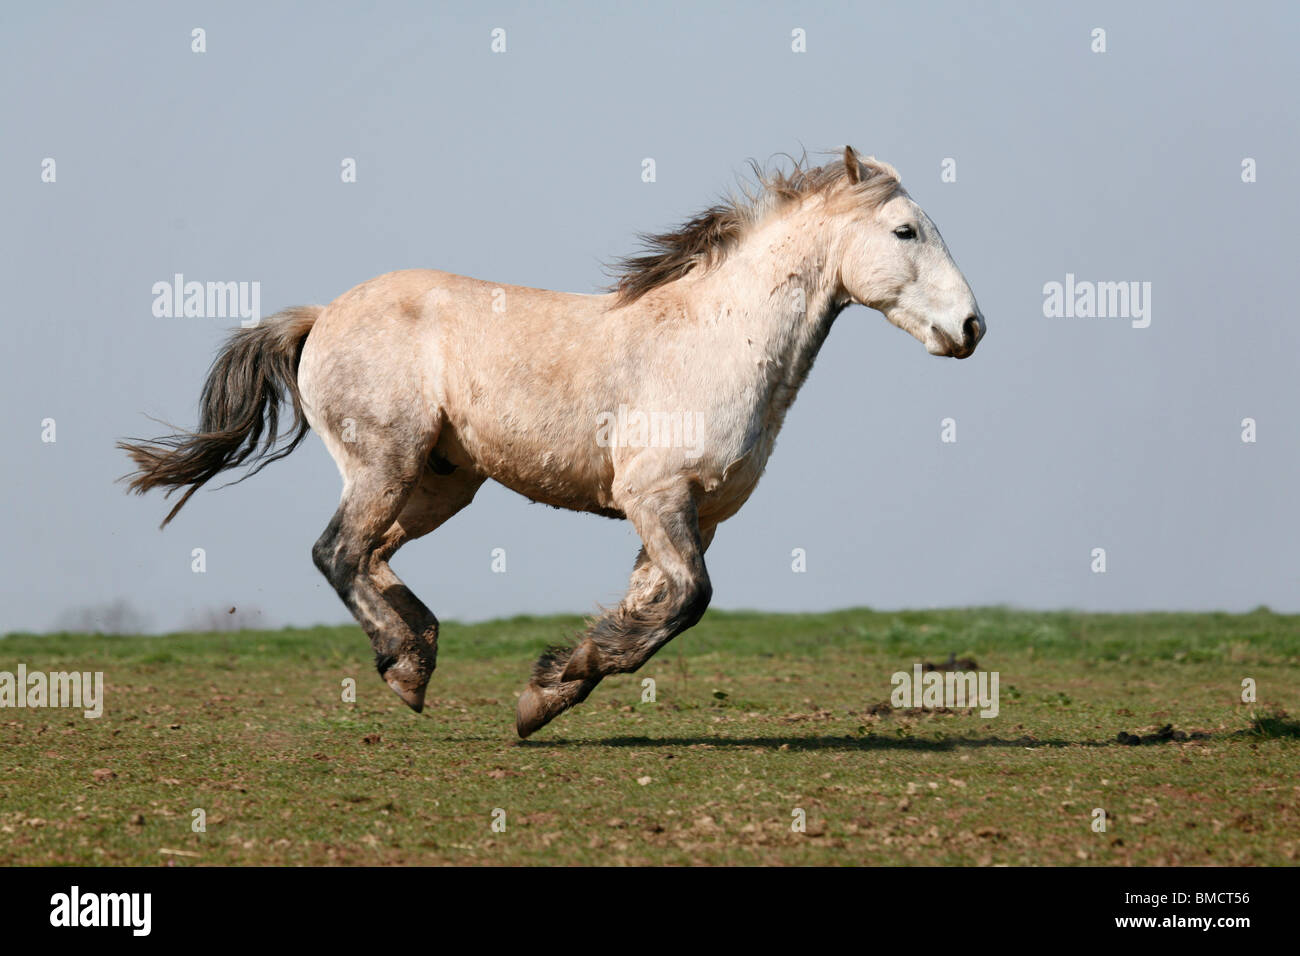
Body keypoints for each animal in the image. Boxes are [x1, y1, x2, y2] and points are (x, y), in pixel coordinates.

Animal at [119, 146, 985, 737]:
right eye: (906, 230)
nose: (972, 327)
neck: (717, 340)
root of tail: (322, 314)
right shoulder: (655, 497)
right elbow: (690, 601)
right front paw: (556, 683)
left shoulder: (691, 516)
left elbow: (653, 606)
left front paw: (550, 689)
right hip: (385, 464)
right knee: (337, 552)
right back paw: (402, 665)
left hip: (439, 483)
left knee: (370, 555)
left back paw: (420, 652)